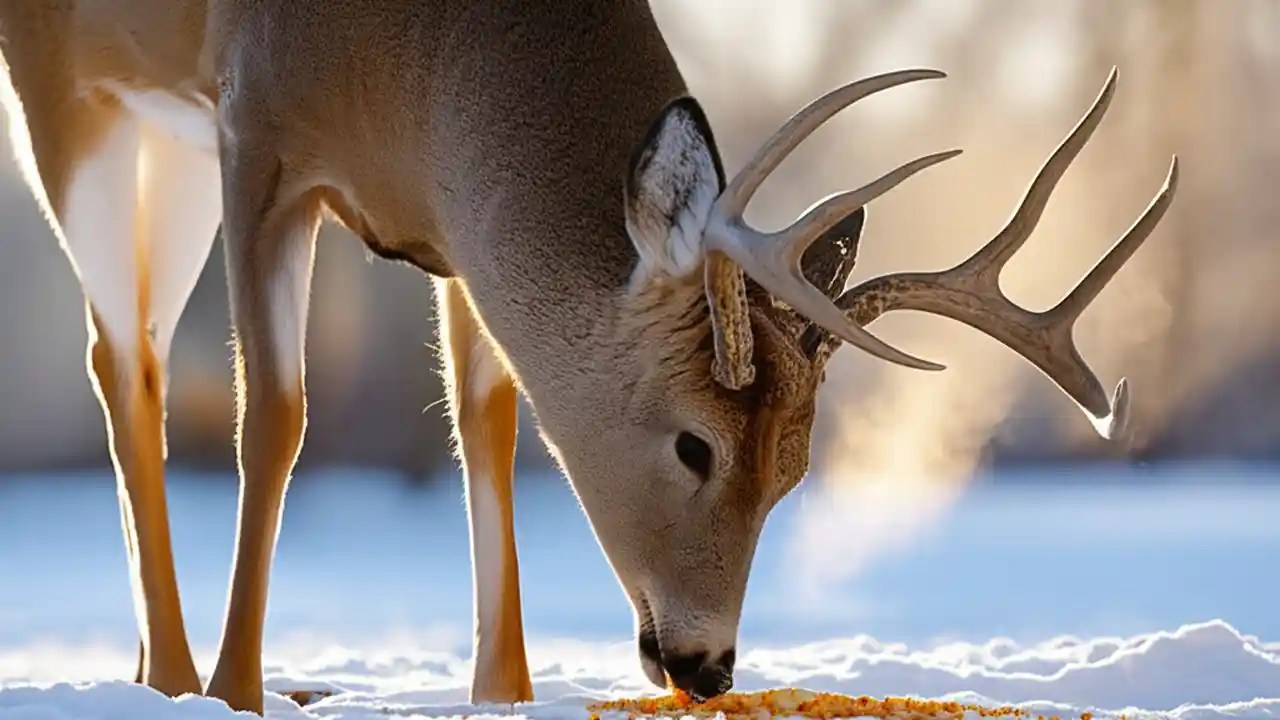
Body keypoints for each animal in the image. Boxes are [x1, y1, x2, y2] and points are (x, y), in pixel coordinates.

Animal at [0, 1, 1175, 715]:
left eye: (793, 470)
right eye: (695, 445)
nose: (707, 666)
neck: (411, 62)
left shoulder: (459, 225)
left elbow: (488, 424)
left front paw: (505, 690)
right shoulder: (260, 136)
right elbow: (277, 415)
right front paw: (236, 691)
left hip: (161, 138)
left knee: (138, 352)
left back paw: (150, 667)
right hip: (75, 95)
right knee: (122, 362)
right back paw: (178, 674)